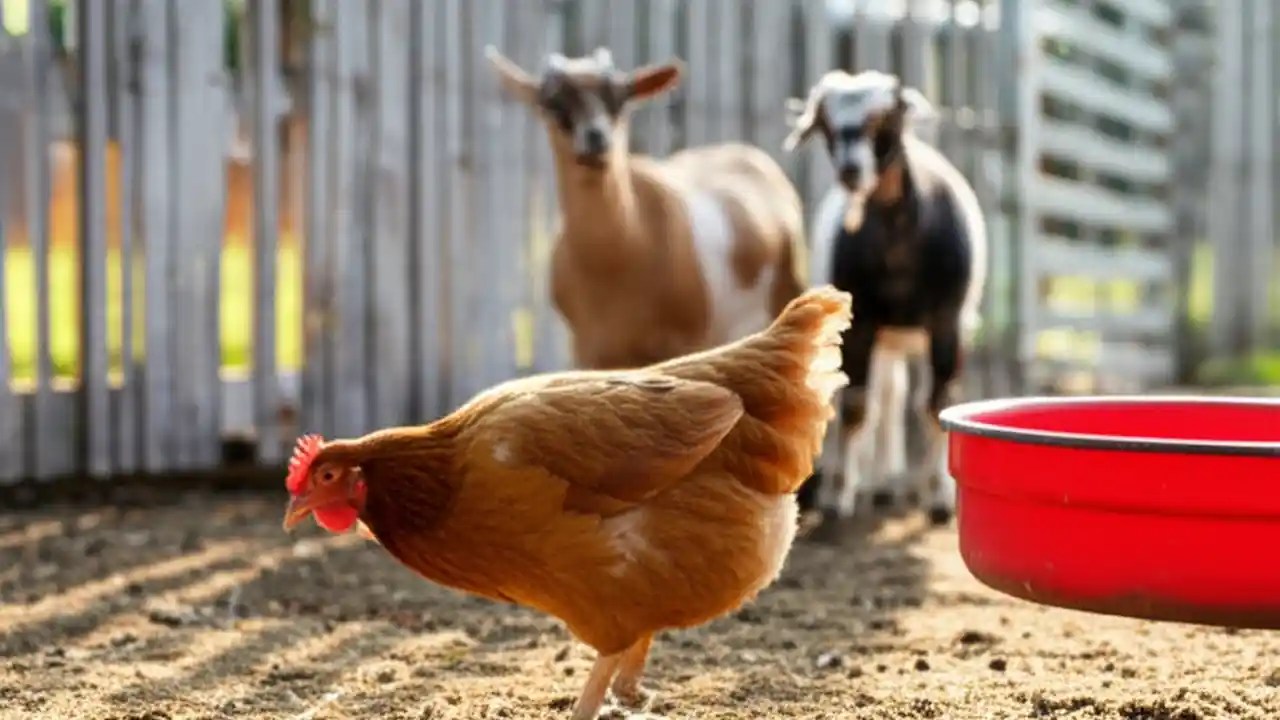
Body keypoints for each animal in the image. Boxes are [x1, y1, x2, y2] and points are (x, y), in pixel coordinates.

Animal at [785, 70, 987, 525]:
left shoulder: (947, 321)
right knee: (886, 399)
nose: (851, 170)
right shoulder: (861, 324)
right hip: (885, 339)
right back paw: (877, 485)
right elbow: (858, 405)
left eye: (885, 118)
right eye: (826, 125)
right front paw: (839, 497)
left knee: (909, 397)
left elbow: (936, 404)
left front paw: (940, 499)